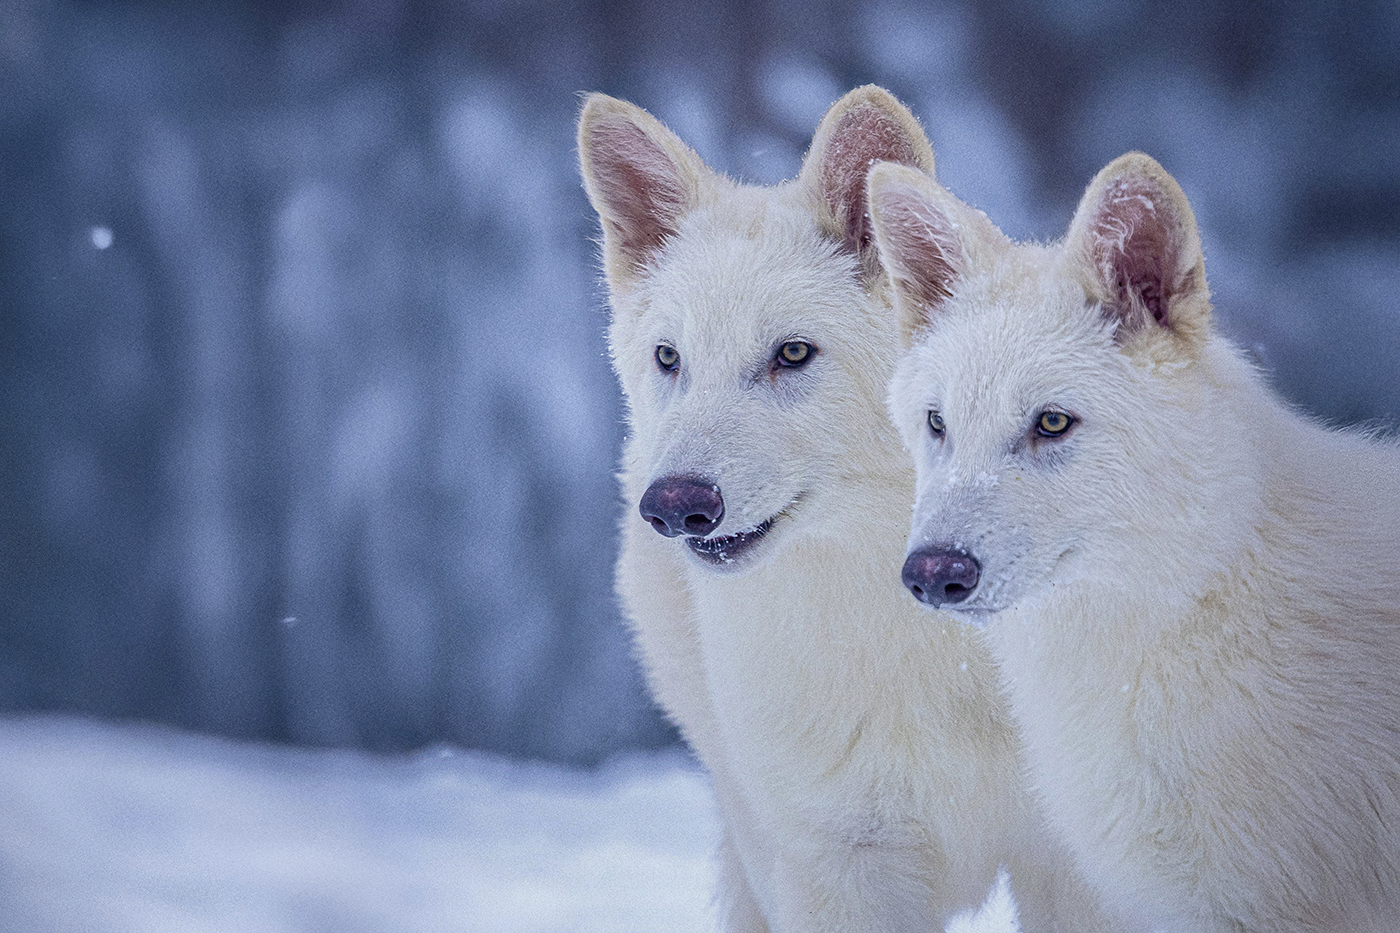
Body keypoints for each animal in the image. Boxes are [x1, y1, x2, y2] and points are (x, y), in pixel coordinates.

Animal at [576, 87, 1114, 932]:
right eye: (670, 359)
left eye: (793, 354)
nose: (676, 505)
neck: (929, 644)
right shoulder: (838, 865)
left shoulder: (1075, 861)